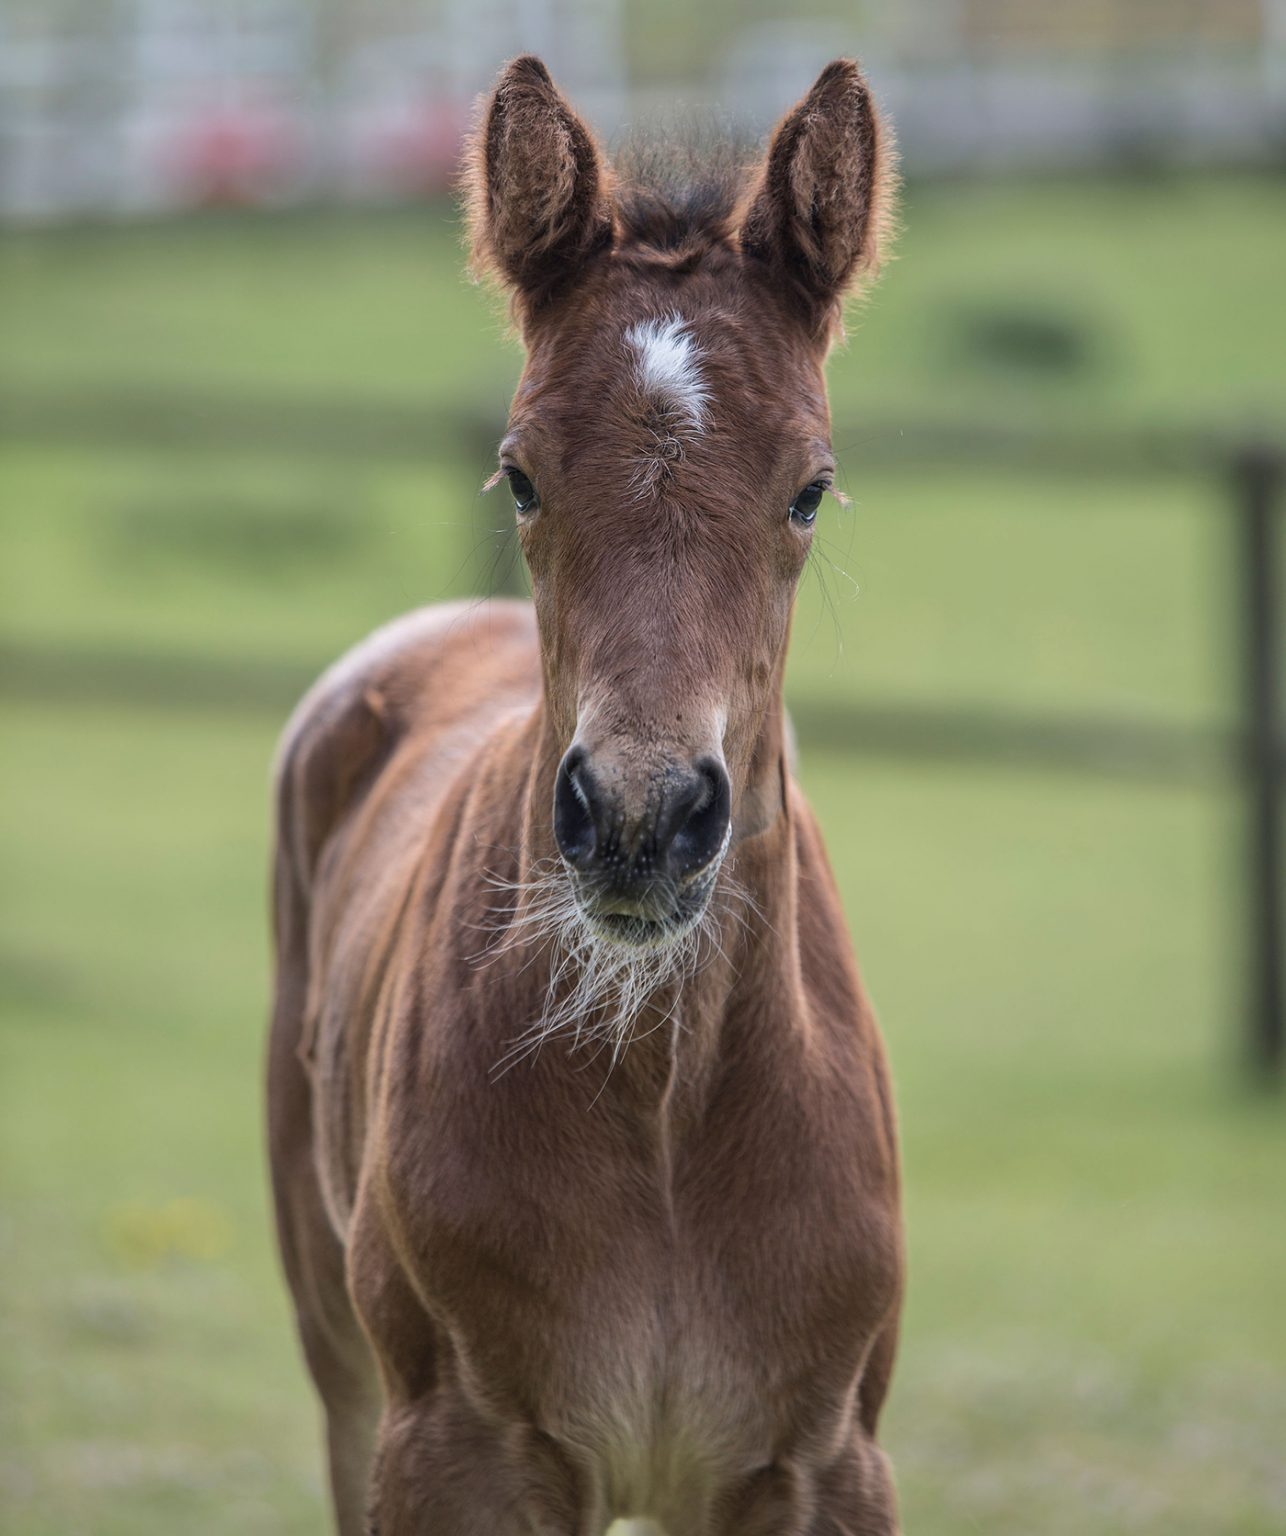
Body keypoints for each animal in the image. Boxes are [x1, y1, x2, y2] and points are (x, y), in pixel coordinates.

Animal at [267, 54, 903, 1536]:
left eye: (811, 488)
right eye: (519, 473)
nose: (638, 821)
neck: (662, 1103)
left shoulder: (824, 1462)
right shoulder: (452, 1453)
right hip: (337, 1358)